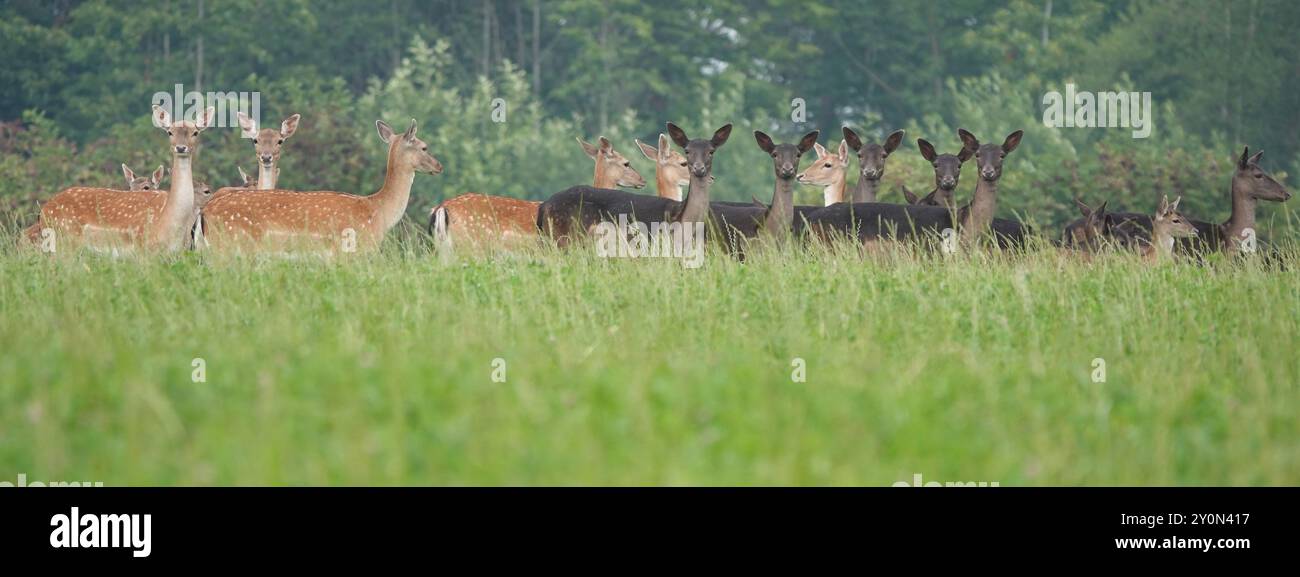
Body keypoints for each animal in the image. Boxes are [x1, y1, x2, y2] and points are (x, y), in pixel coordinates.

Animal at [31, 105, 215, 253]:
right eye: (170, 132)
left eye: (195, 132)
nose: (181, 147)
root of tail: (43, 212)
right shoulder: (143, 248)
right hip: (64, 241)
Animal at [200, 118, 441, 254]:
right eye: (424, 147)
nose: (439, 165)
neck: (379, 213)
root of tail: (205, 212)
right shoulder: (351, 250)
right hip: (230, 245)